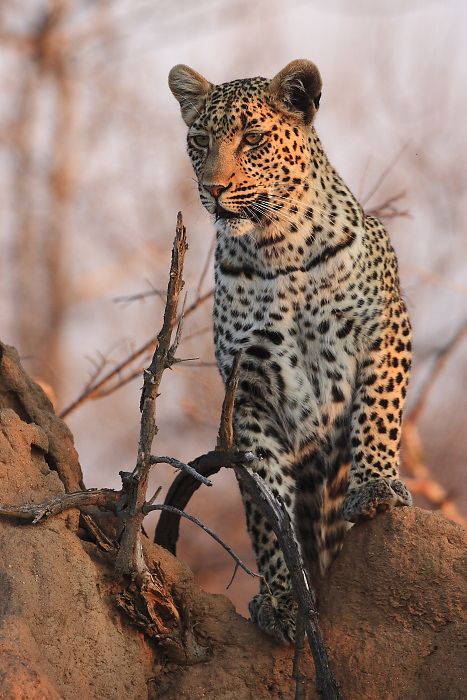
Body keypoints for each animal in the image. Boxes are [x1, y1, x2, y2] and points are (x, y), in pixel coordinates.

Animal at [169, 59, 413, 644]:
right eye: (200, 139)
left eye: (253, 138)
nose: (213, 189)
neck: (277, 244)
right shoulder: (249, 391)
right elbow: (268, 507)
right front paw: (282, 597)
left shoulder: (384, 329)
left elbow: (376, 411)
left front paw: (376, 485)